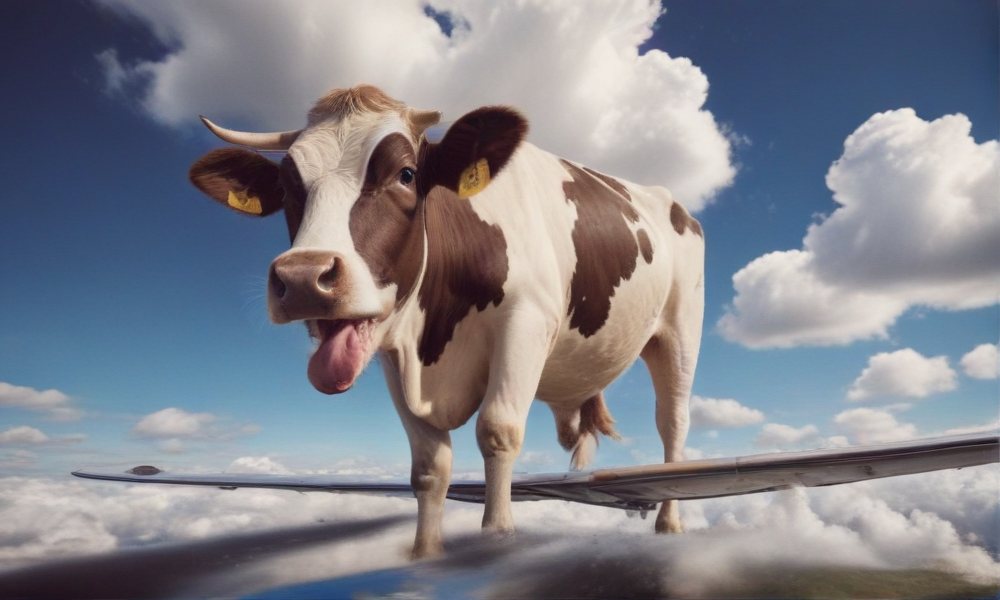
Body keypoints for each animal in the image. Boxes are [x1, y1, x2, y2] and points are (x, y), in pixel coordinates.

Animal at [188, 85, 704, 558]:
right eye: (287, 187)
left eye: (406, 174)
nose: (302, 278)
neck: (433, 341)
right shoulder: (394, 357)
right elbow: (429, 465)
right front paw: (426, 554)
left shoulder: (526, 322)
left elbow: (497, 431)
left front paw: (496, 540)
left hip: (678, 333)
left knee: (672, 423)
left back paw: (670, 525)